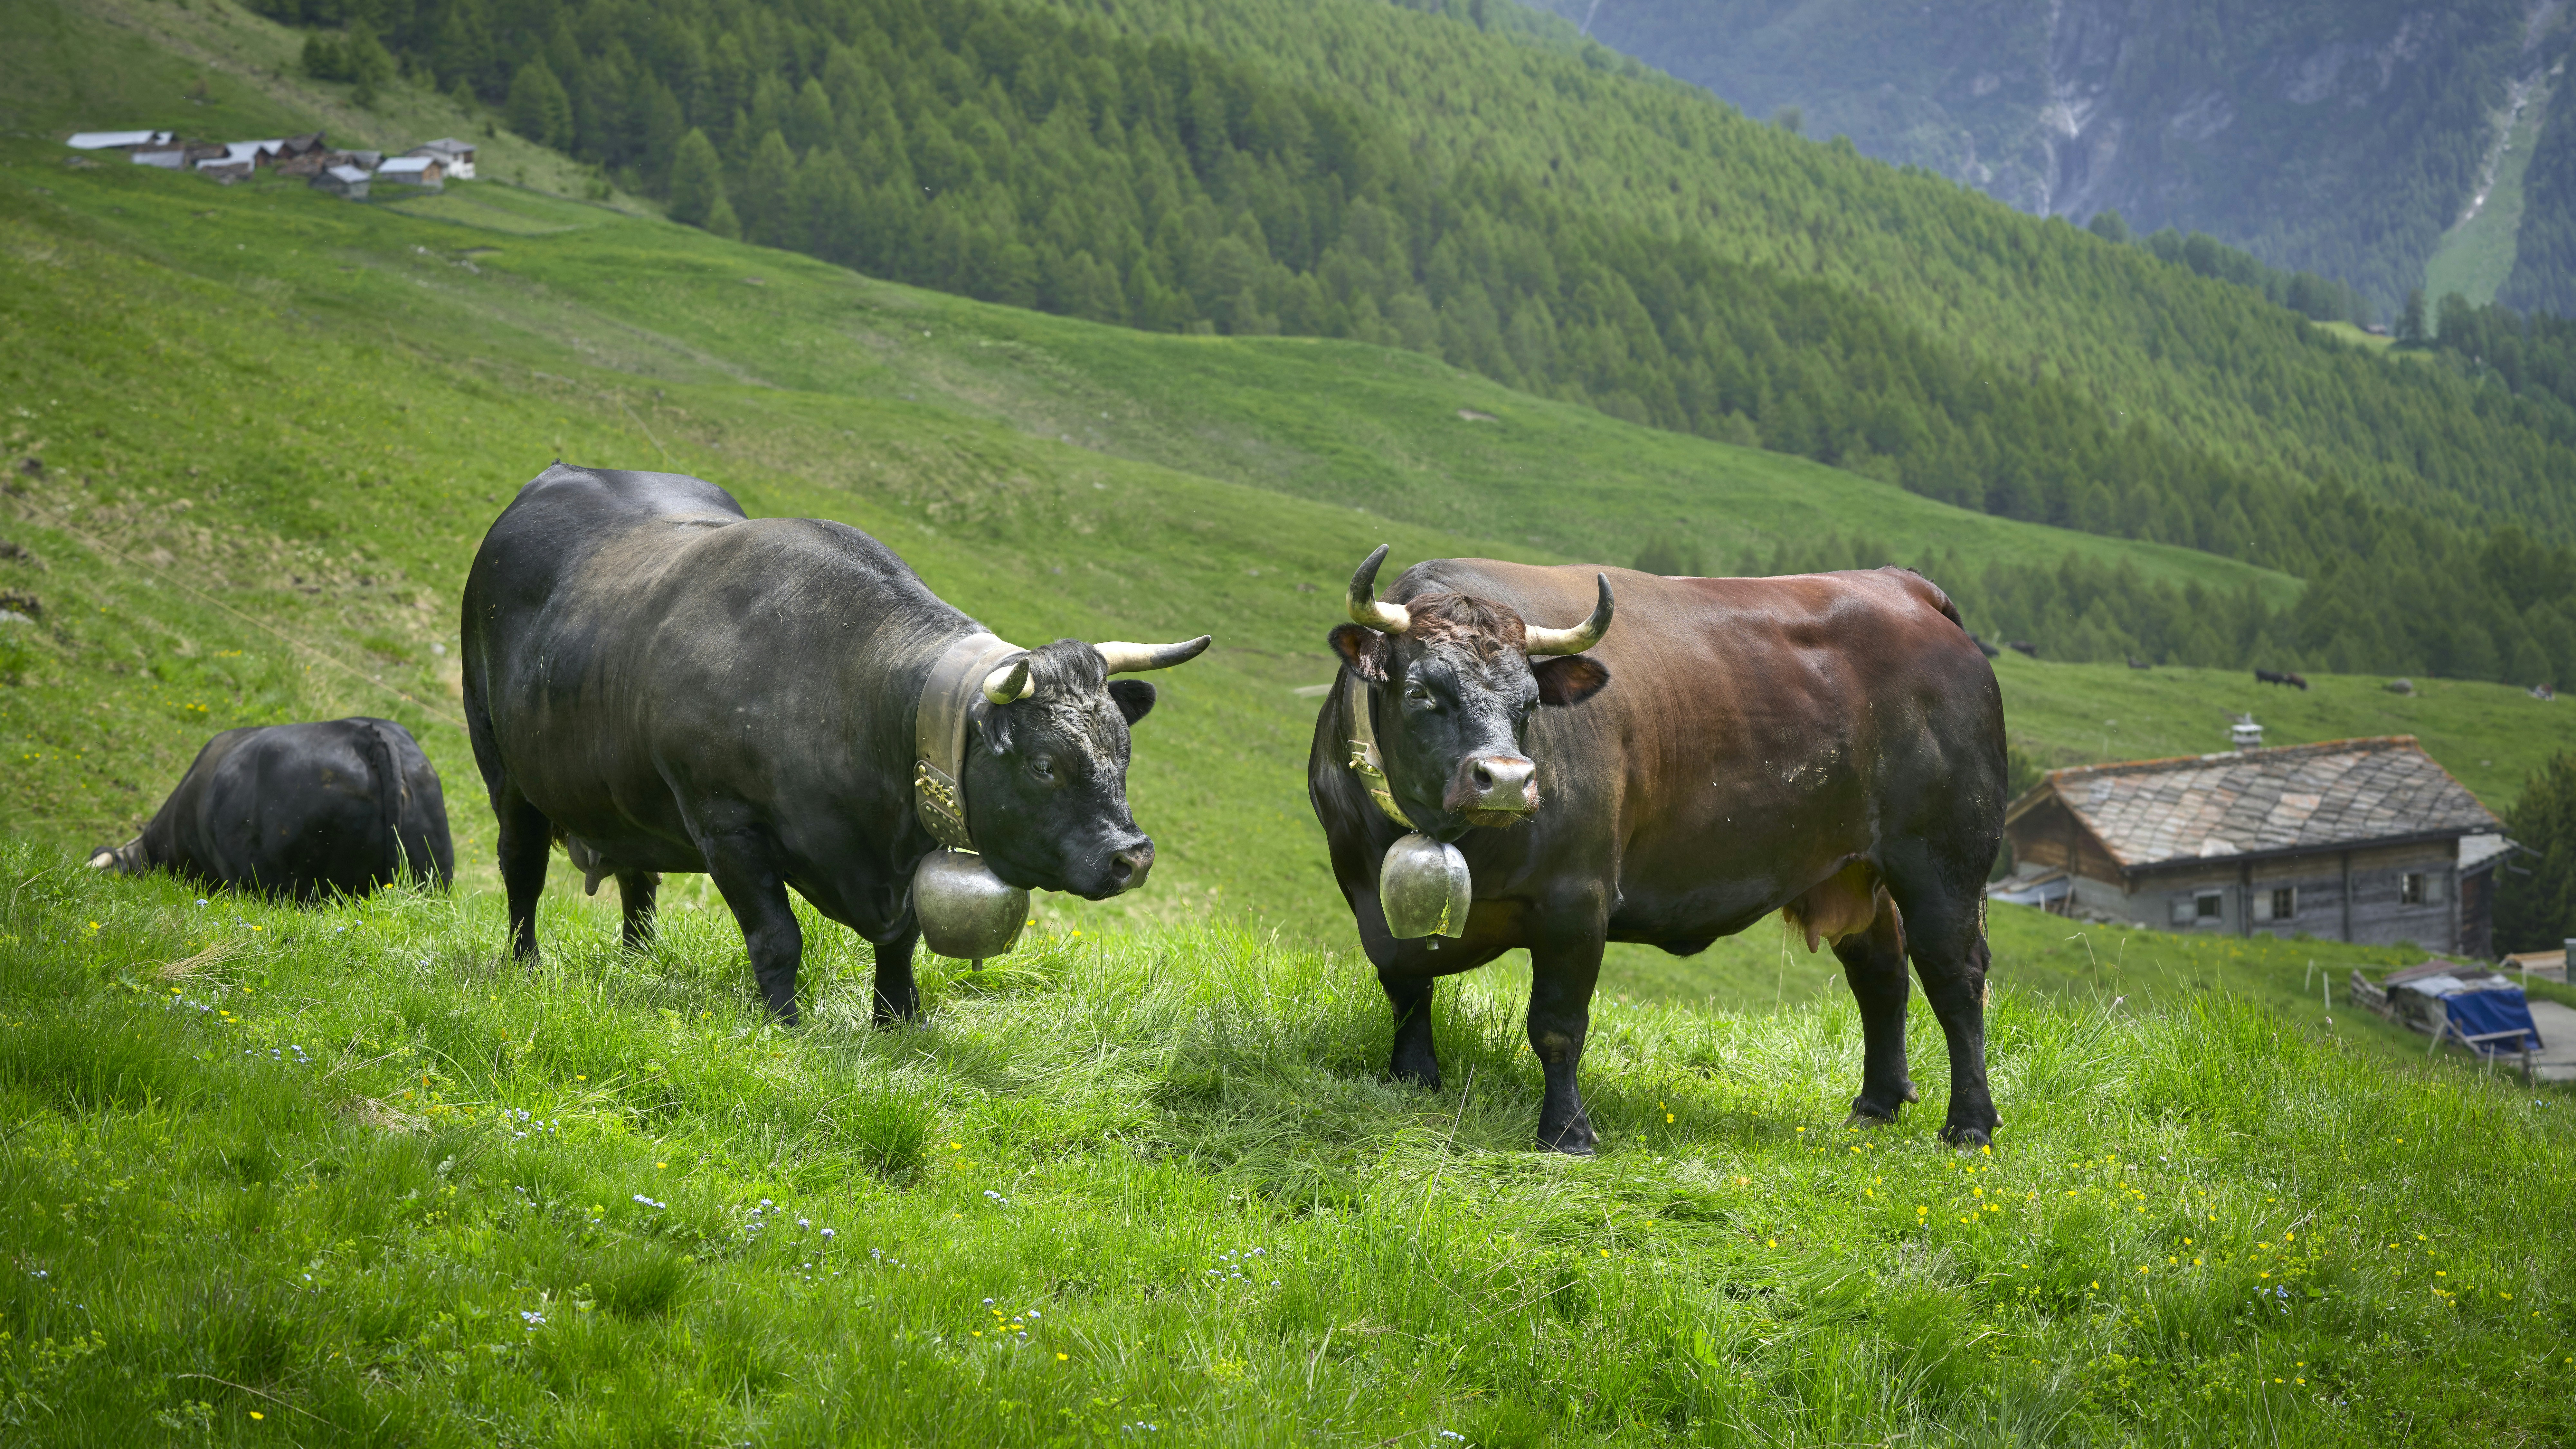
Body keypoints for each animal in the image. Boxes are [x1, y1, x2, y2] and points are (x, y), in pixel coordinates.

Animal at [460, 464, 1209, 1024]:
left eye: (1123, 752)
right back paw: (525, 965)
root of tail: (564, 474)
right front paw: (783, 1028)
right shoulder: (726, 824)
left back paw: (638, 964)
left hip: (626, 801)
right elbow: (777, 937)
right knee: (522, 869)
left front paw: (898, 1023)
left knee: (637, 883)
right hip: (505, 769)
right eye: (1044, 764)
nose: (1133, 858)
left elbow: (902, 944)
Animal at [1308, 548, 2008, 1152]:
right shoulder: (1365, 895)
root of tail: (1903, 588)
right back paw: (1877, 1106)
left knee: (1955, 981)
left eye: (1531, 702)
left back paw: (1969, 1125)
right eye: (1421, 692)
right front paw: (1413, 1077)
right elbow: (1405, 991)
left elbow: (1557, 1026)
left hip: (1944, 865)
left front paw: (1568, 1134)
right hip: (1855, 868)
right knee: (1881, 971)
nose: (1506, 779)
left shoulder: (1576, 902)